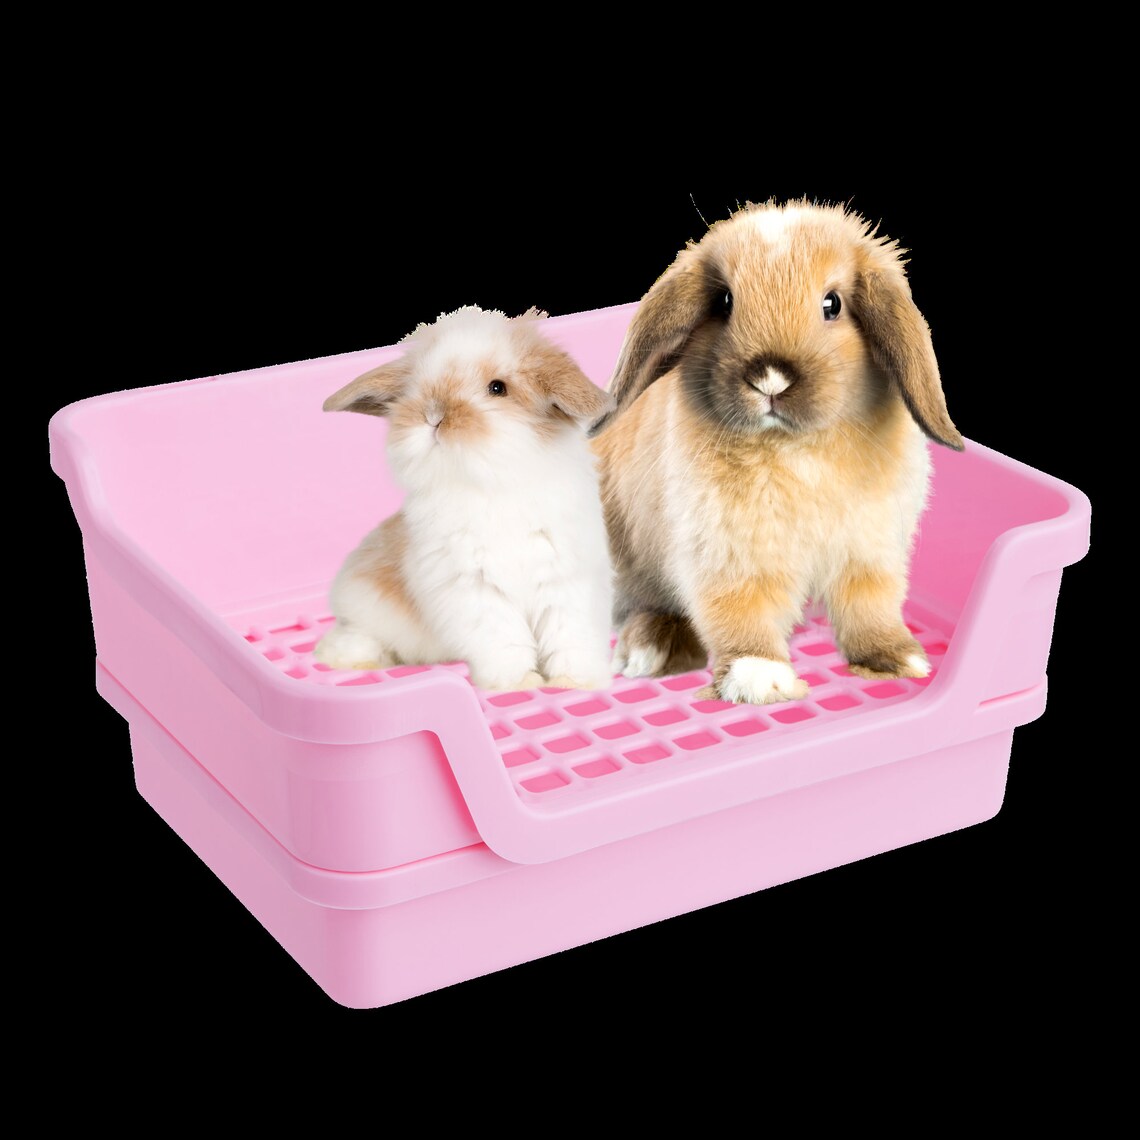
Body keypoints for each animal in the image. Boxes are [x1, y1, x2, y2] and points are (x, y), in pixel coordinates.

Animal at [314, 305, 616, 692]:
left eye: (497, 388)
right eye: (416, 388)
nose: (433, 415)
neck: (490, 485)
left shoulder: (567, 581)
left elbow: (570, 636)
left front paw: (575, 682)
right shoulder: (475, 592)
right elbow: (504, 640)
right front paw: (519, 683)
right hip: (364, 608)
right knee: (349, 640)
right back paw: (356, 659)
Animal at [590, 199, 964, 706]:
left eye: (832, 304)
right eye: (724, 302)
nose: (770, 377)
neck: (796, 446)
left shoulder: (870, 551)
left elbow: (870, 605)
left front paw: (896, 659)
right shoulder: (727, 556)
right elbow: (738, 613)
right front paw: (761, 678)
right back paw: (651, 649)